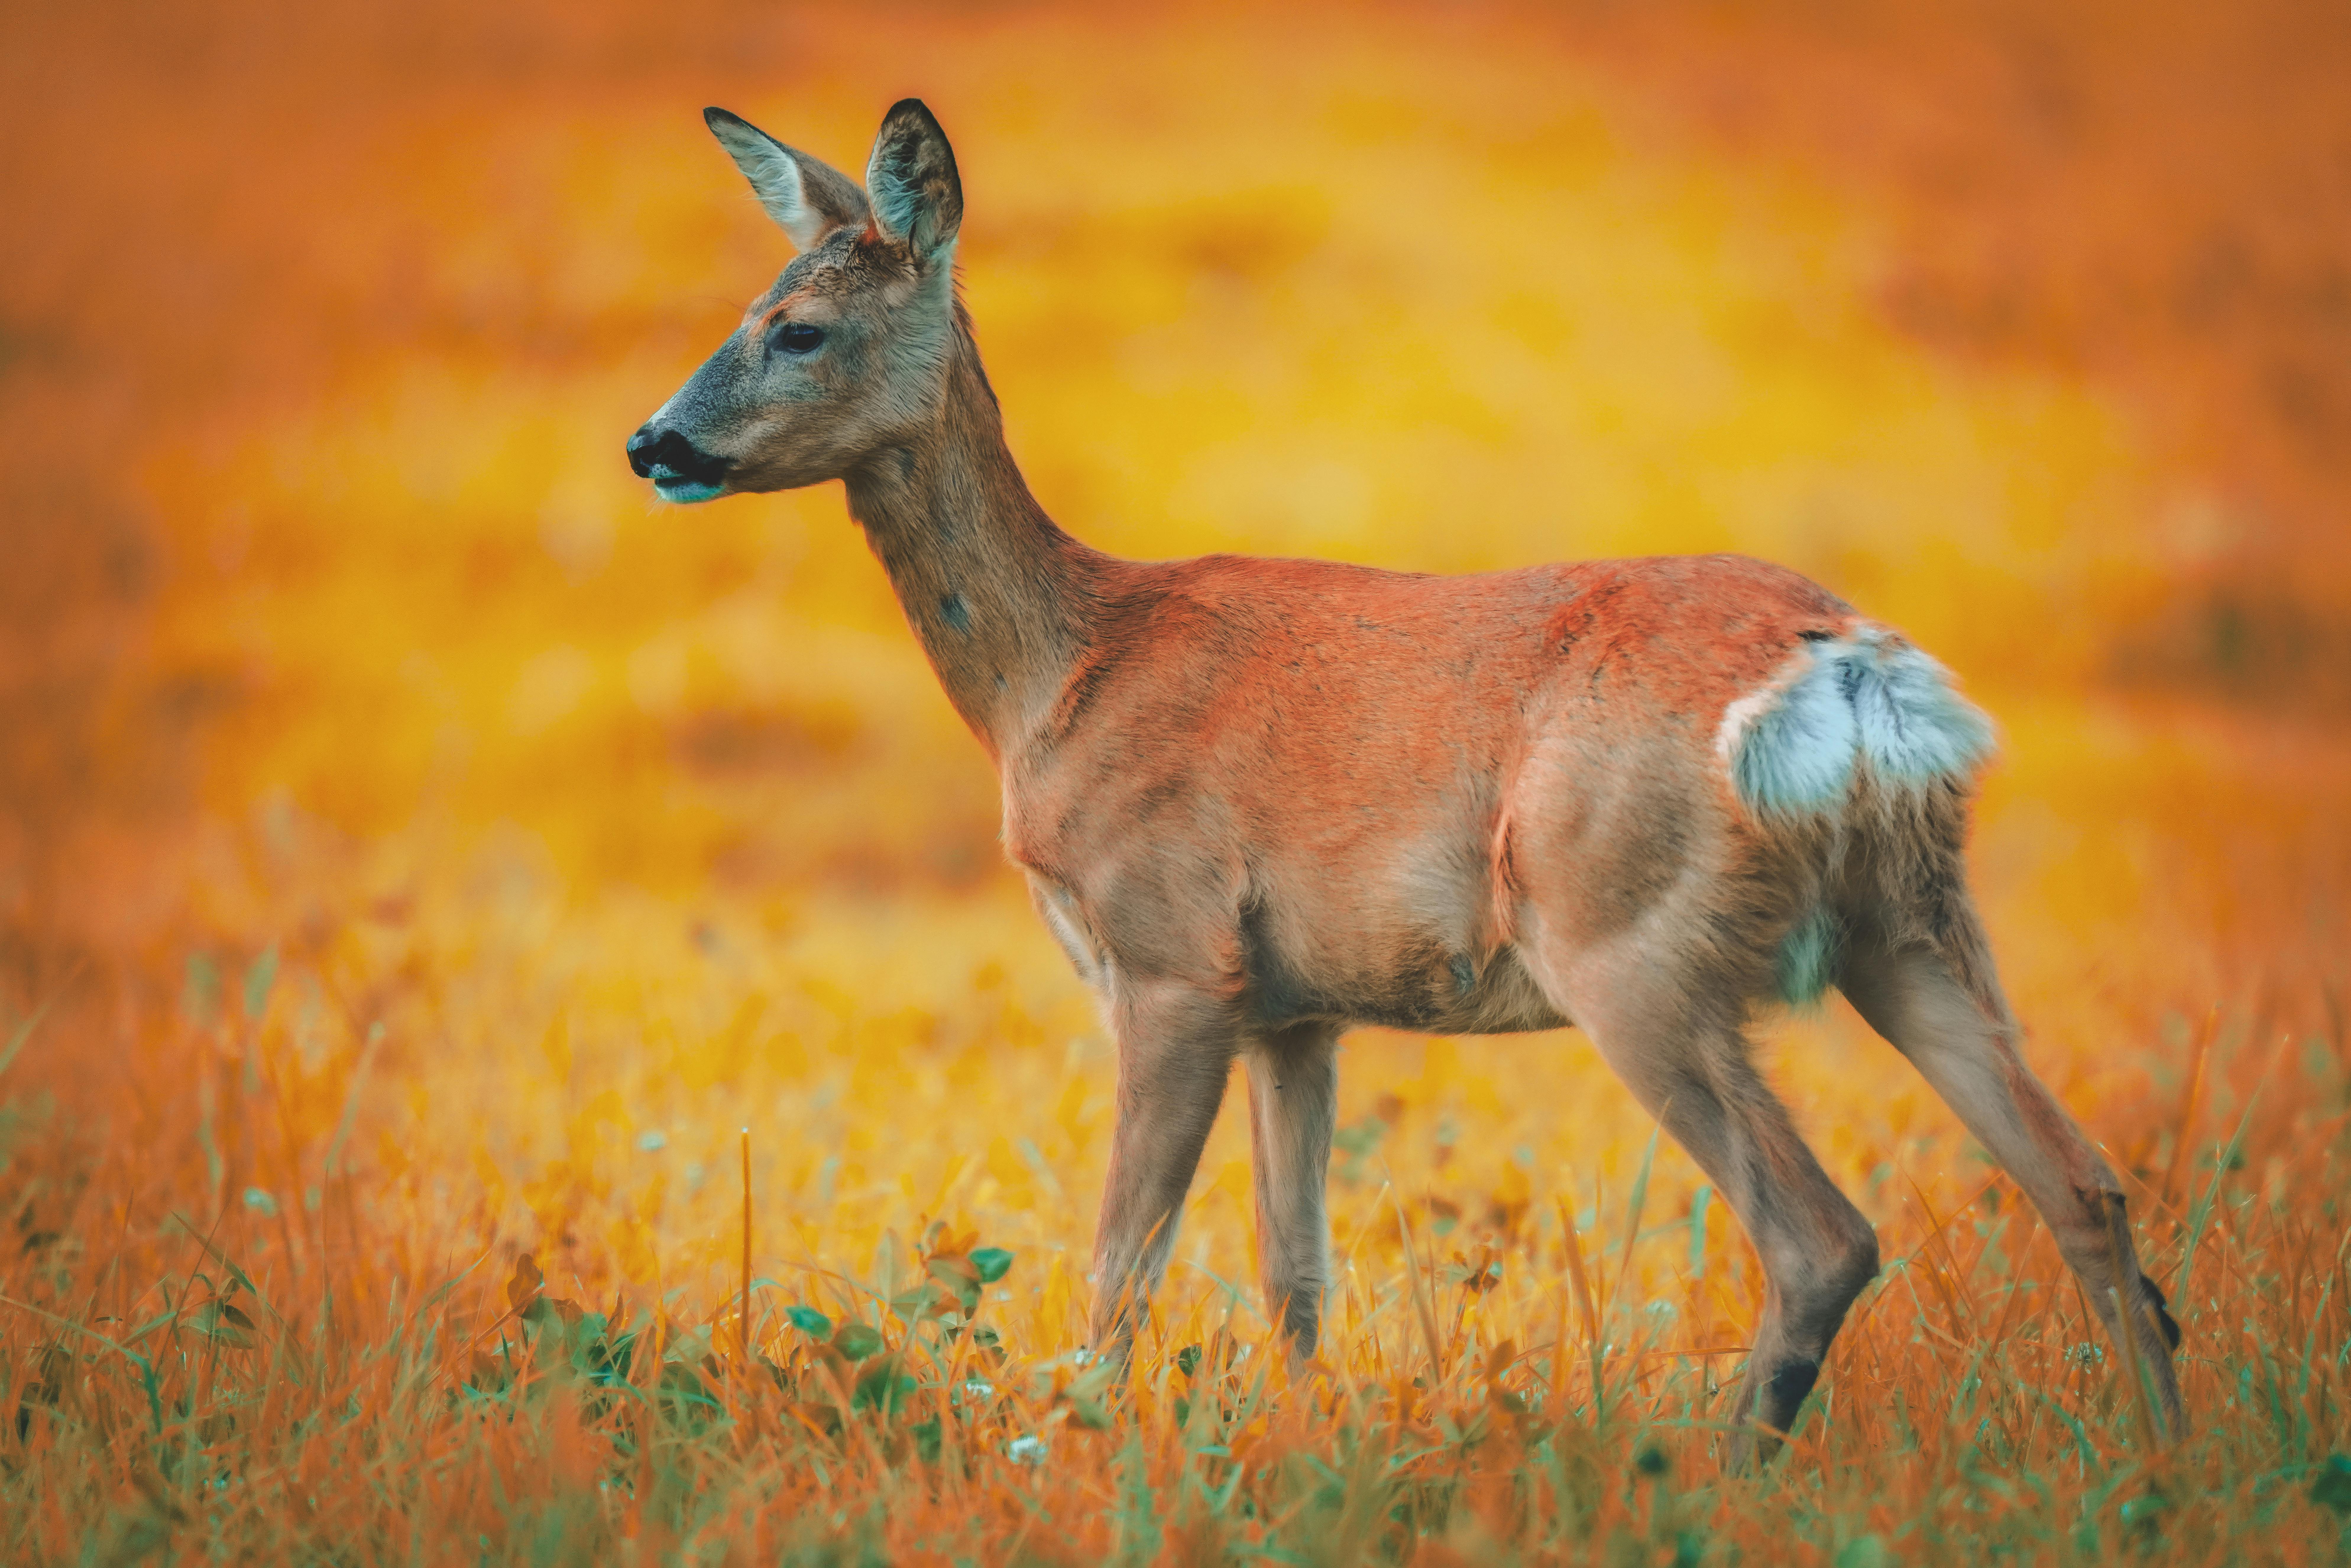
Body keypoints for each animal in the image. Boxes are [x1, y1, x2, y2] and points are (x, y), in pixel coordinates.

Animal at [626, 98, 2184, 1465]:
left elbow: (1122, 1267)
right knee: (2085, 1184)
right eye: (745, 308)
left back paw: (1719, 1473)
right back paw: (2161, 1457)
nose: (652, 443)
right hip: (1909, 922)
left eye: (798, 329)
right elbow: (1294, 1277)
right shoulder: (1295, 1007)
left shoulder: (1169, 956)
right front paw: (1303, 1452)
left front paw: (1059, 1446)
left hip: (1627, 936)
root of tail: (1853, 668)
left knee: (1822, 1237)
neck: (1059, 675)